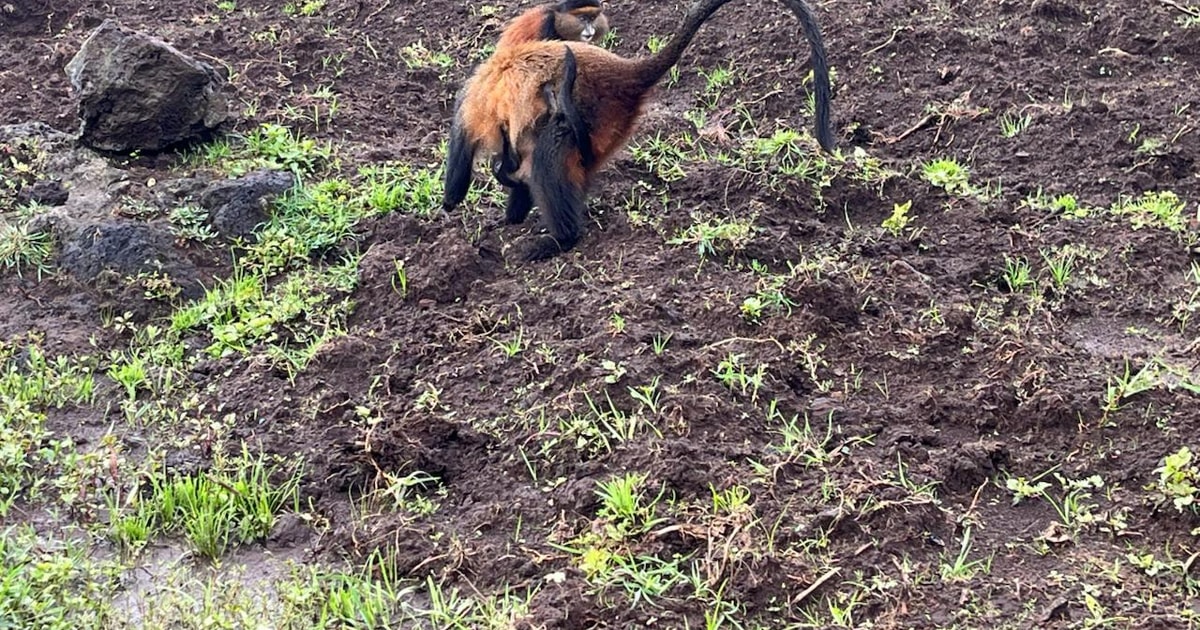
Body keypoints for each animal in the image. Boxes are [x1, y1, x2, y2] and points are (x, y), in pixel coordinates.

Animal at [444, 0, 835, 261]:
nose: (588, 31)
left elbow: (464, 150)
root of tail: (623, 74)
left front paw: (453, 201)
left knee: (551, 148)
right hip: (608, 125)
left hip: (596, 113)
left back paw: (564, 238)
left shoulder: (474, 108)